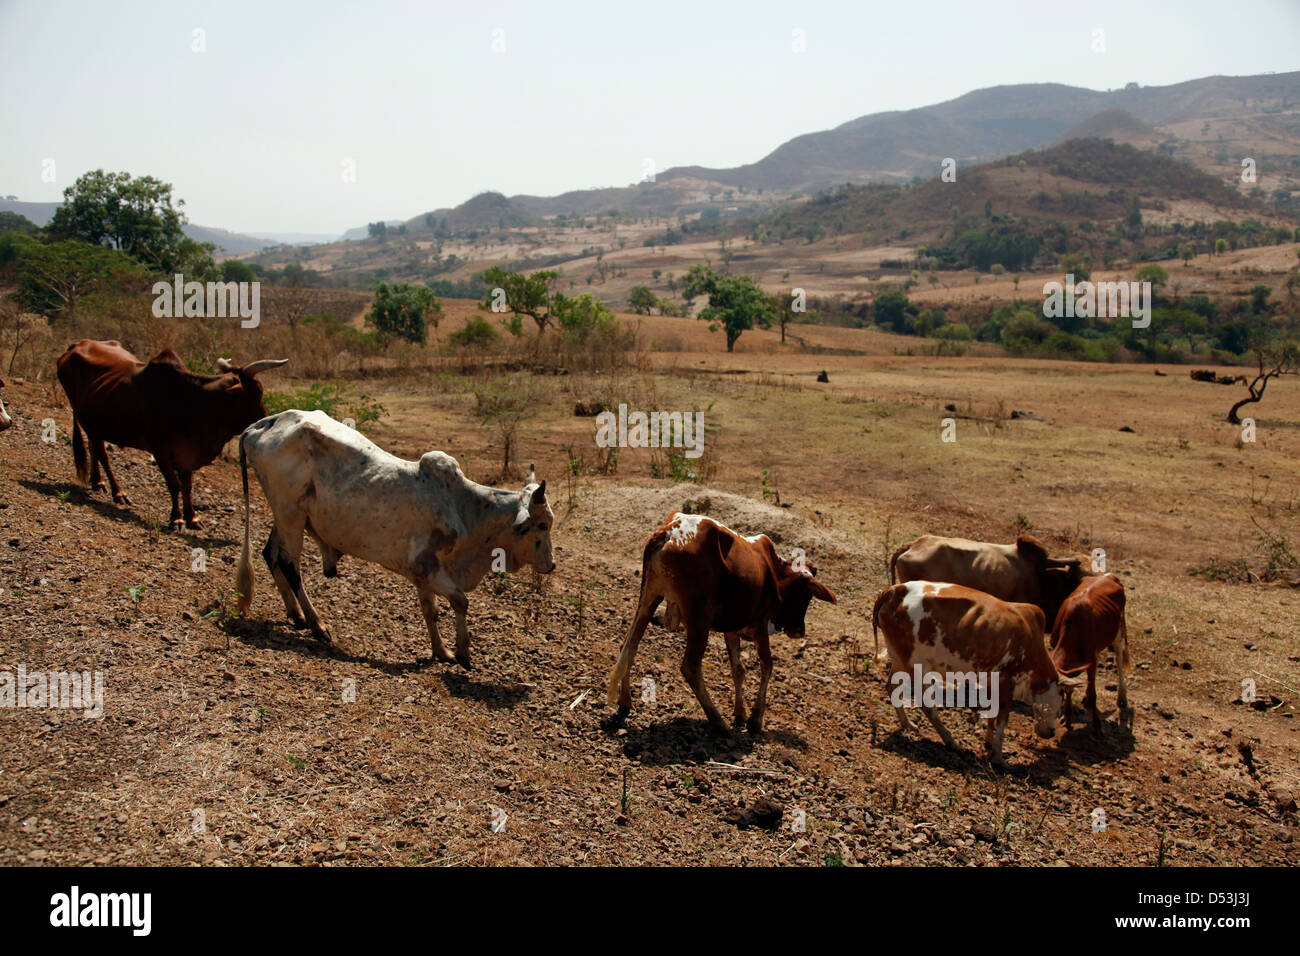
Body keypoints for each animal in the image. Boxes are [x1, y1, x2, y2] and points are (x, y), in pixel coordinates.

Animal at [55, 340, 287, 529]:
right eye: (257, 392)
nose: (269, 422)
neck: (197, 403)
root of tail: (77, 344)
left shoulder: (187, 453)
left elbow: (187, 487)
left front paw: (192, 517)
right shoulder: (160, 451)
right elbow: (174, 485)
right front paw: (177, 518)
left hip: (95, 423)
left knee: (95, 449)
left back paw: (98, 482)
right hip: (86, 420)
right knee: (102, 454)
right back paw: (118, 492)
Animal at [235, 409, 555, 668]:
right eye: (542, 525)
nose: (551, 565)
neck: (465, 510)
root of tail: (258, 426)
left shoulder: (422, 574)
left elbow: (430, 610)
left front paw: (441, 652)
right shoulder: (427, 567)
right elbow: (460, 602)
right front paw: (463, 654)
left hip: (288, 516)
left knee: (271, 554)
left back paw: (296, 615)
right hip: (289, 514)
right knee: (291, 566)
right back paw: (317, 625)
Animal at [606, 512, 836, 734]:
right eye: (807, 595)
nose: (799, 631)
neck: (773, 572)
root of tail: (669, 532)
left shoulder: (732, 630)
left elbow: (738, 669)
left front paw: (740, 712)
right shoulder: (760, 626)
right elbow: (767, 665)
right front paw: (755, 720)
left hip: (649, 598)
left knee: (629, 646)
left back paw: (625, 702)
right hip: (699, 618)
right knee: (690, 666)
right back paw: (717, 721)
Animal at [871, 581, 1082, 769]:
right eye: (1062, 697)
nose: (1052, 732)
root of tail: (894, 590)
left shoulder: (991, 680)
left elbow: (991, 714)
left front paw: (988, 744)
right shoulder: (1007, 681)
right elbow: (1002, 719)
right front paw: (998, 757)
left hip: (899, 659)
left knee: (891, 687)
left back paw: (908, 724)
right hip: (917, 665)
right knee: (927, 705)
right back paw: (951, 742)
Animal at [1049, 573, 1132, 733]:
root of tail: (1109, 576)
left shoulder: (1092, 661)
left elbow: (1093, 694)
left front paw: (1097, 724)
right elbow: (1070, 688)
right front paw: (1067, 716)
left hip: (1119, 631)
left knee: (1119, 659)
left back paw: (1122, 697)